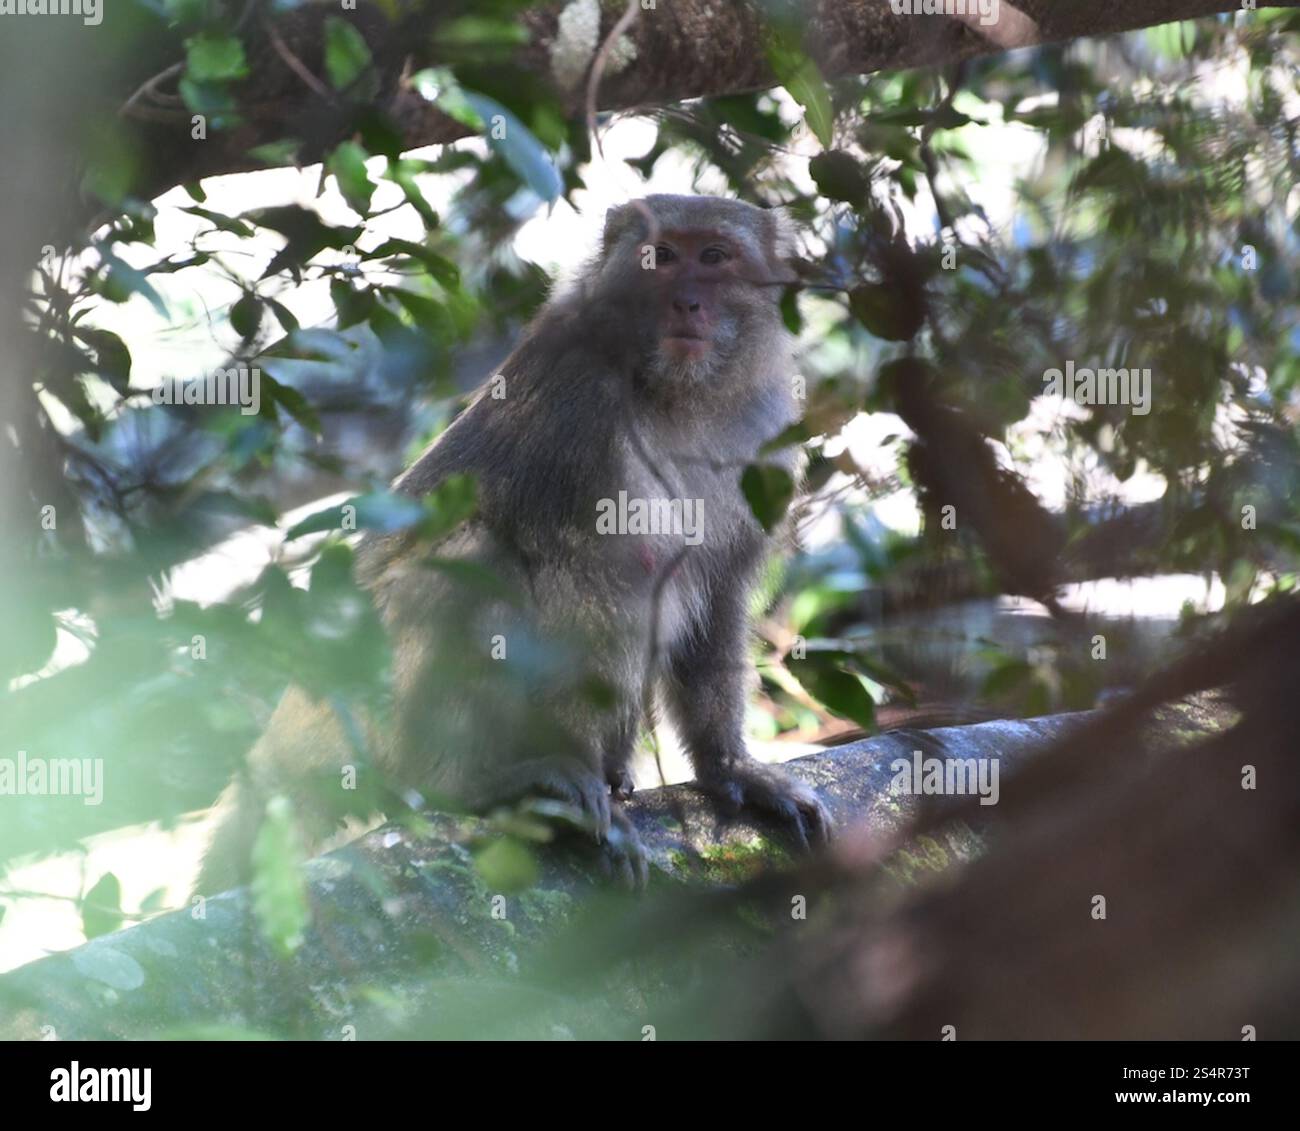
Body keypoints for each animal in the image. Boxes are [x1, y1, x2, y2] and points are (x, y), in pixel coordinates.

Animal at [197, 194, 833, 895]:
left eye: (715, 257)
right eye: (660, 257)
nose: (687, 303)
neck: (678, 392)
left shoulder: (765, 427)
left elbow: (717, 594)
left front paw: (729, 769)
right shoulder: (578, 414)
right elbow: (584, 585)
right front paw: (581, 780)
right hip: (367, 709)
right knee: (469, 558)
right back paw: (471, 784)